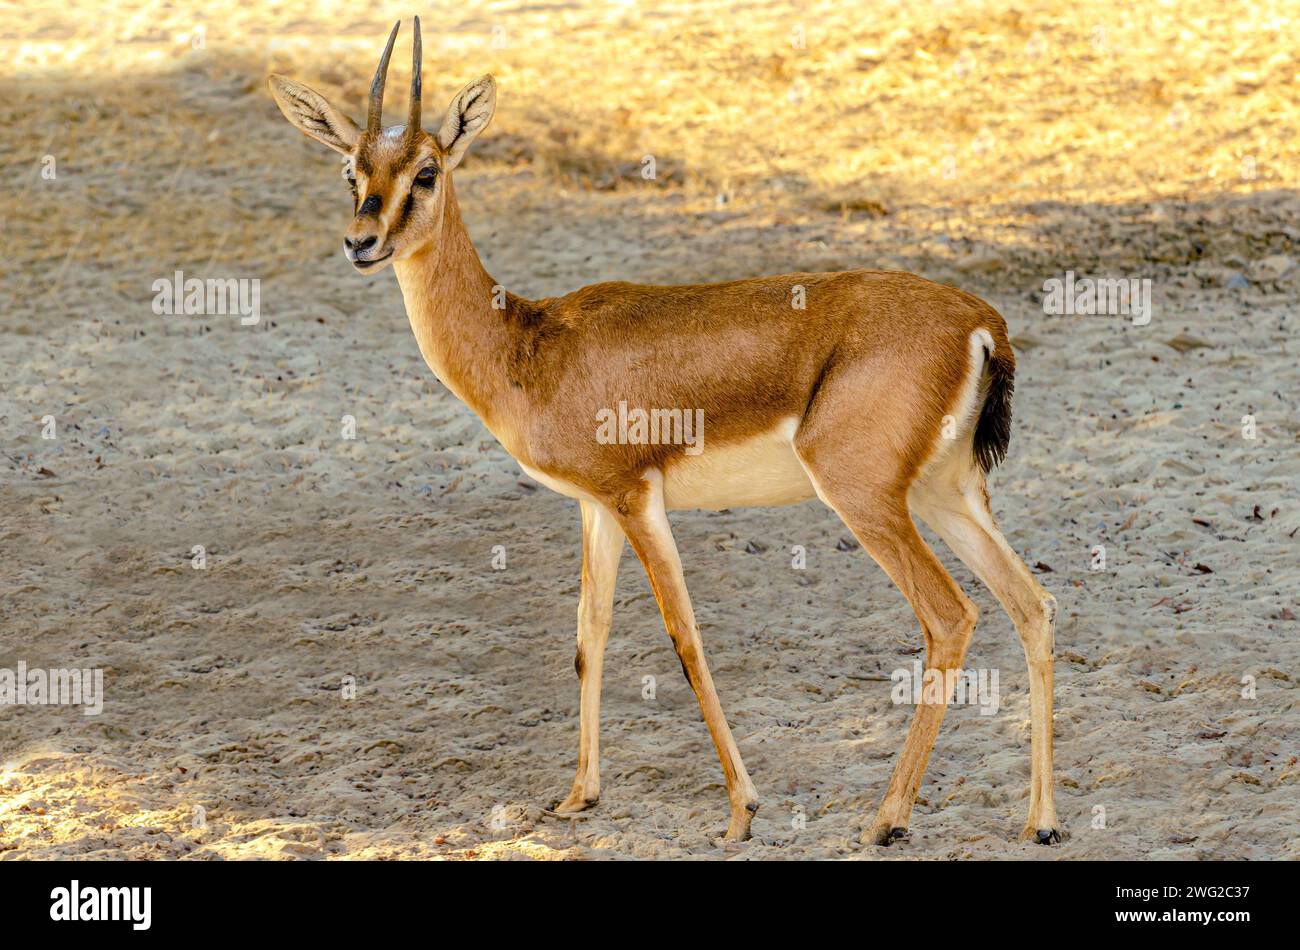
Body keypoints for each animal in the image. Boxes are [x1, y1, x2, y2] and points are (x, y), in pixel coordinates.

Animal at [269, 18, 1061, 846]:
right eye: (352, 171)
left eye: (425, 171)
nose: (361, 240)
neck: (528, 346)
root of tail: (981, 323)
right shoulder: (595, 507)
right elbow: (588, 638)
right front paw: (578, 795)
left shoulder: (635, 497)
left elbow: (685, 638)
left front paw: (742, 810)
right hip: (946, 494)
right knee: (1033, 604)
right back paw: (1039, 821)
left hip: (867, 498)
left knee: (951, 617)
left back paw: (886, 819)